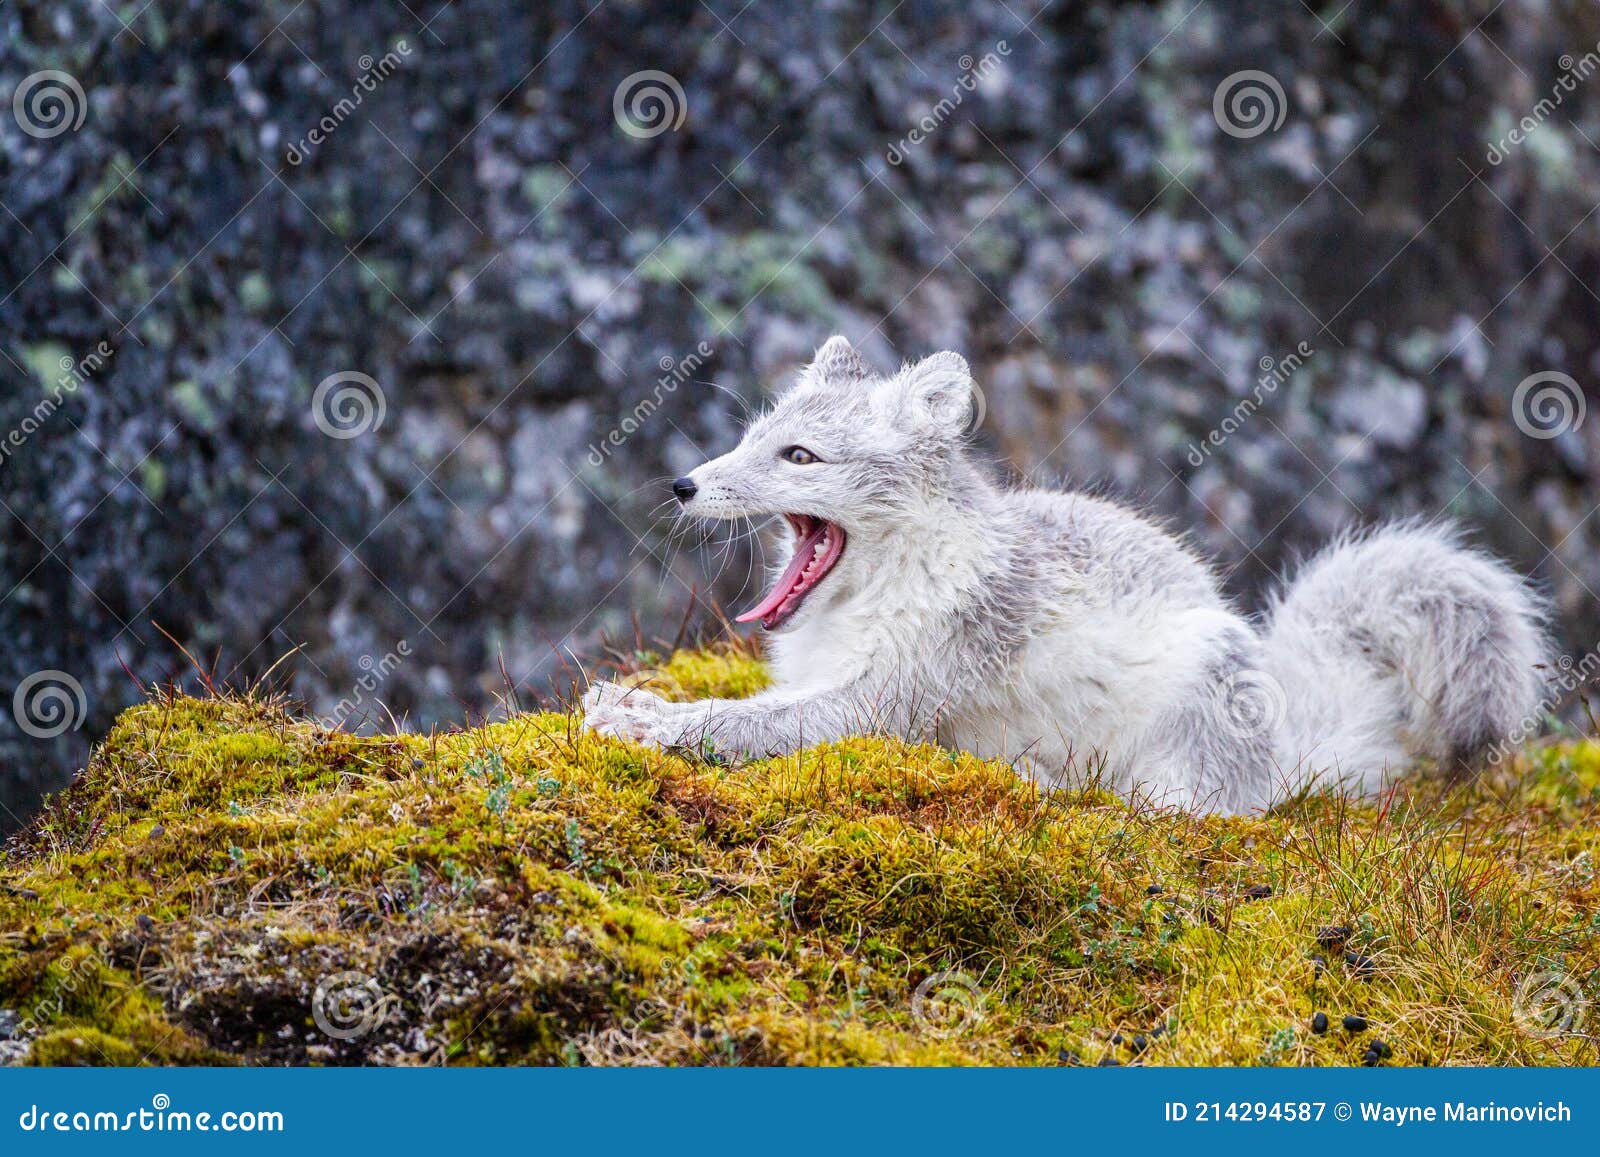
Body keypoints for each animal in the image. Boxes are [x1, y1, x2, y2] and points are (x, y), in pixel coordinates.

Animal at [583, 336, 1550, 813]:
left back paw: (1048, 782)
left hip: (1201, 693)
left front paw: (648, 723)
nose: (683, 484)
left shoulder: (880, 704)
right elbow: (747, 701)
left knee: (1167, 812)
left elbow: (746, 723)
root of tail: (1284, 750)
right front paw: (632, 700)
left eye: (799, 455)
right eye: (752, 437)